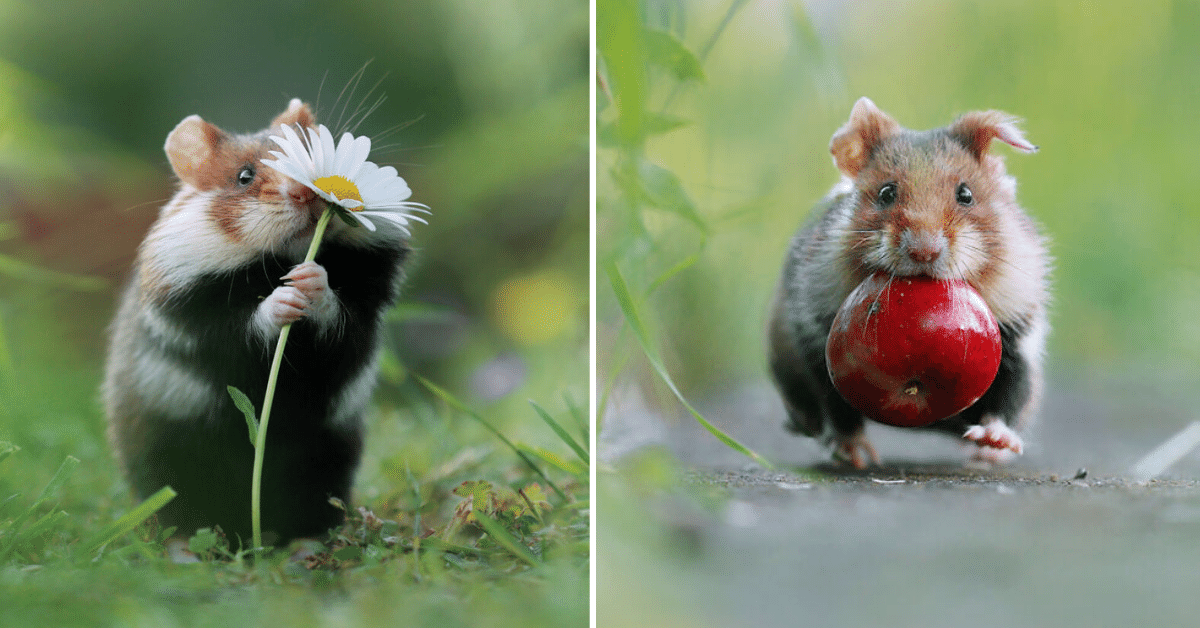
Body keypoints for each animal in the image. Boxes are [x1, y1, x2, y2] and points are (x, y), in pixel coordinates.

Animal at [103, 99, 410, 546]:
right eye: (244, 176)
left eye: (311, 150)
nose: (306, 192)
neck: (277, 261)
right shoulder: (197, 319)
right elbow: (244, 325)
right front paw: (284, 297)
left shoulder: (364, 312)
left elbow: (339, 314)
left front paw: (310, 280)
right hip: (167, 455)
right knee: (177, 509)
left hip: (329, 455)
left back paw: (304, 545)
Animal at [768, 97, 1050, 468]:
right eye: (886, 193)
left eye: (966, 194)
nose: (923, 251)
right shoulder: (814, 336)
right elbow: (837, 407)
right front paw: (854, 454)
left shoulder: (1019, 336)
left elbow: (1010, 398)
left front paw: (994, 442)